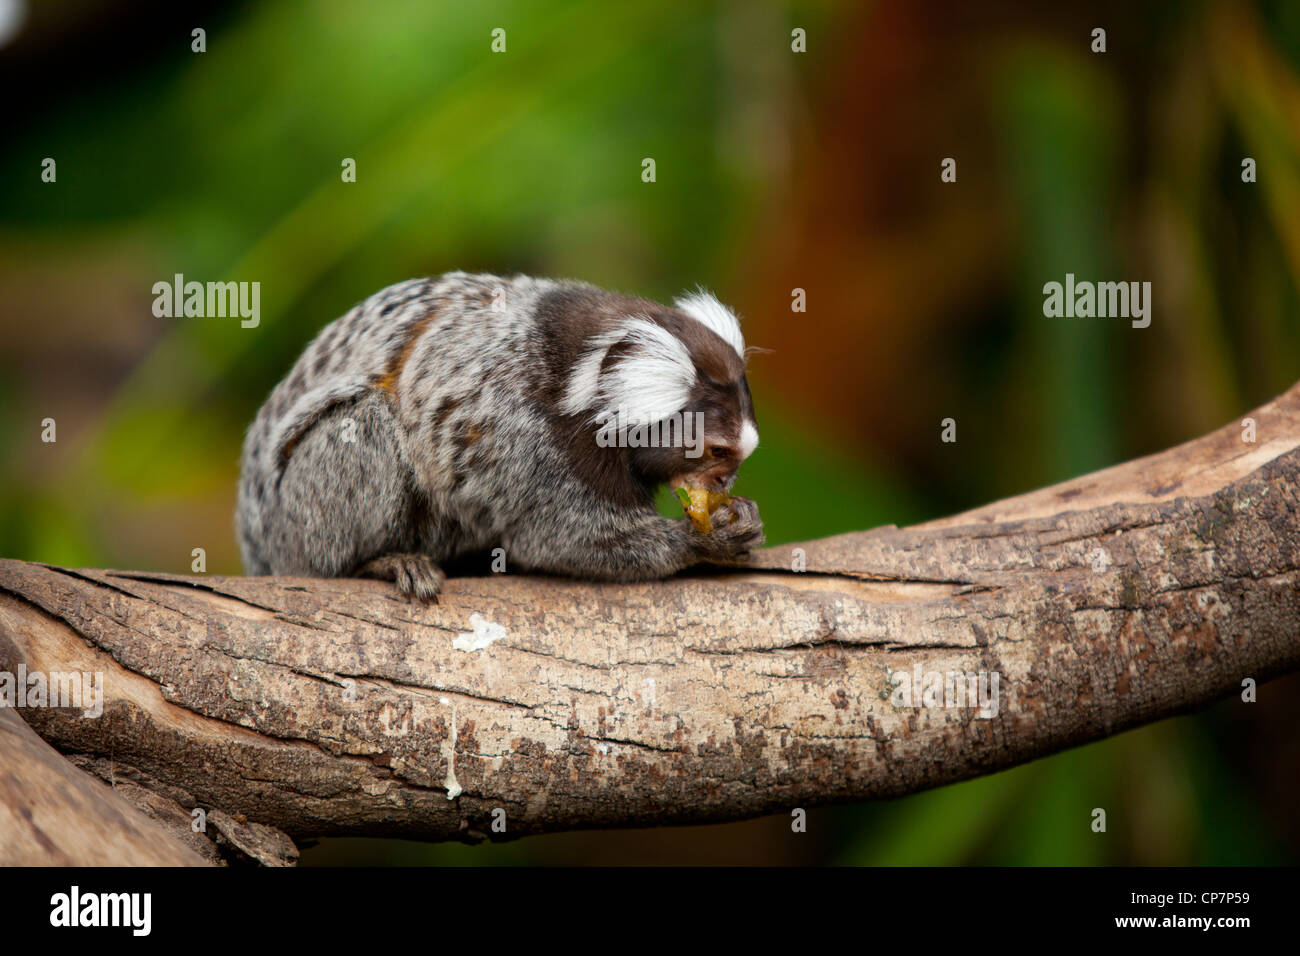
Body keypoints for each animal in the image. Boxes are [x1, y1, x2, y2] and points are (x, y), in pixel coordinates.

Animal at [236, 272, 763, 600]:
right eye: (715, 451)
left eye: (739, 459)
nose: (724, 483)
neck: (576, 375)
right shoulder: (523, 430)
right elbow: (558, 539)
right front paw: (703, 542)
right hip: (294, 529)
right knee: (366, 419)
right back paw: (375, 564)